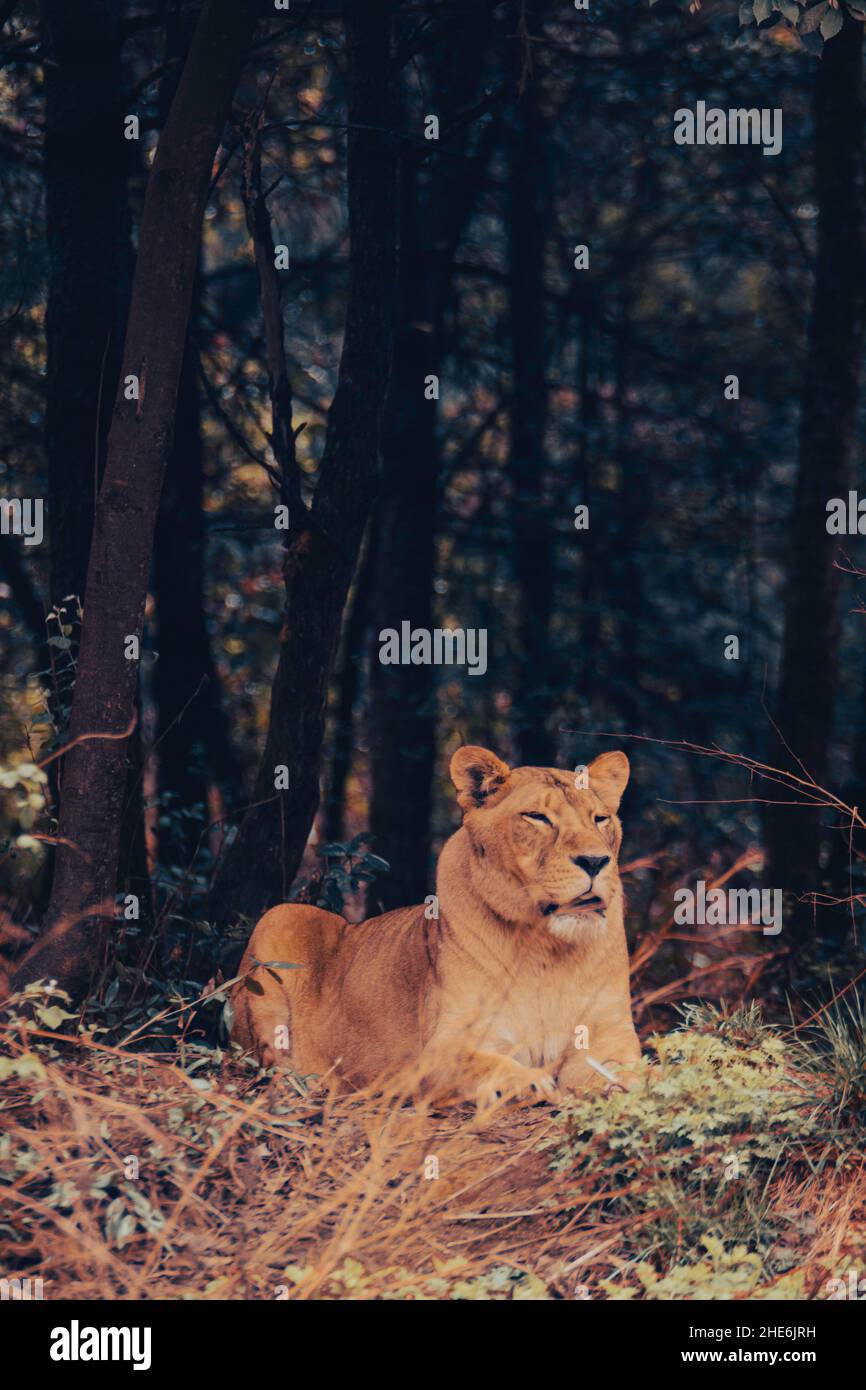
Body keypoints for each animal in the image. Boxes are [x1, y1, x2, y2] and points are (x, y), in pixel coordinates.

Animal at [230, 746, 641, 1108]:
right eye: (537, 817)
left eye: (600, 819)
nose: (595, 861)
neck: (547, 948)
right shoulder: (437, 1051)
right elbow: (483, 1064)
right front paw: (528, 1083)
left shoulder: (609, 1037)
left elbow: (629, 1072)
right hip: (280, 919)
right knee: (268, 1065)